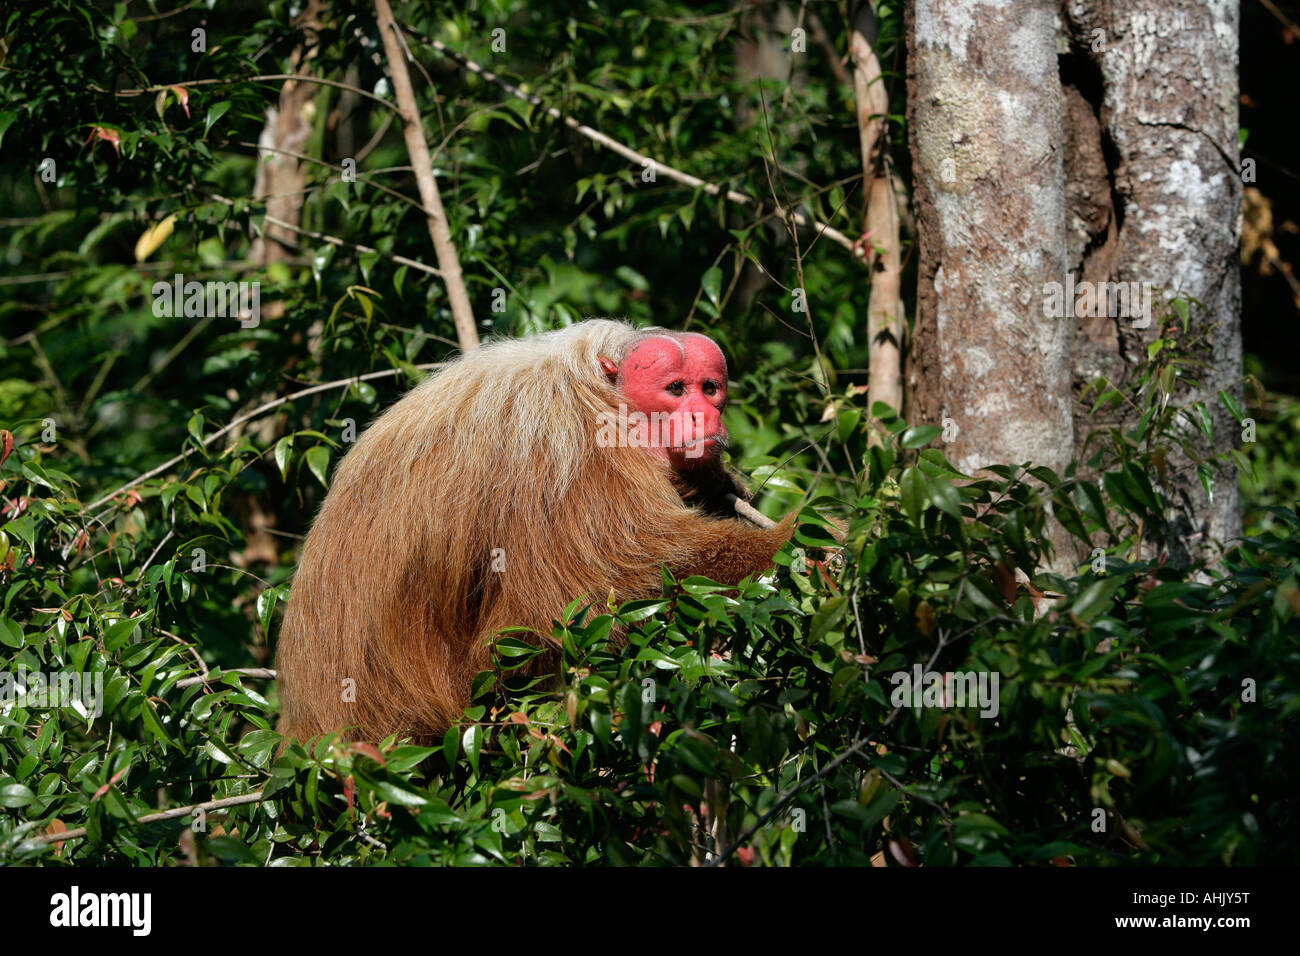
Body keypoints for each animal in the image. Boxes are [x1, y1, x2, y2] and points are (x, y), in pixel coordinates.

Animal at [274, 319, 795, 745]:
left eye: (708, 388)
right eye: (674, 389)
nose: (703, 415)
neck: (605, 395)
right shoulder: (573, 447)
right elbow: (612, 586)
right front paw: (796, 543)